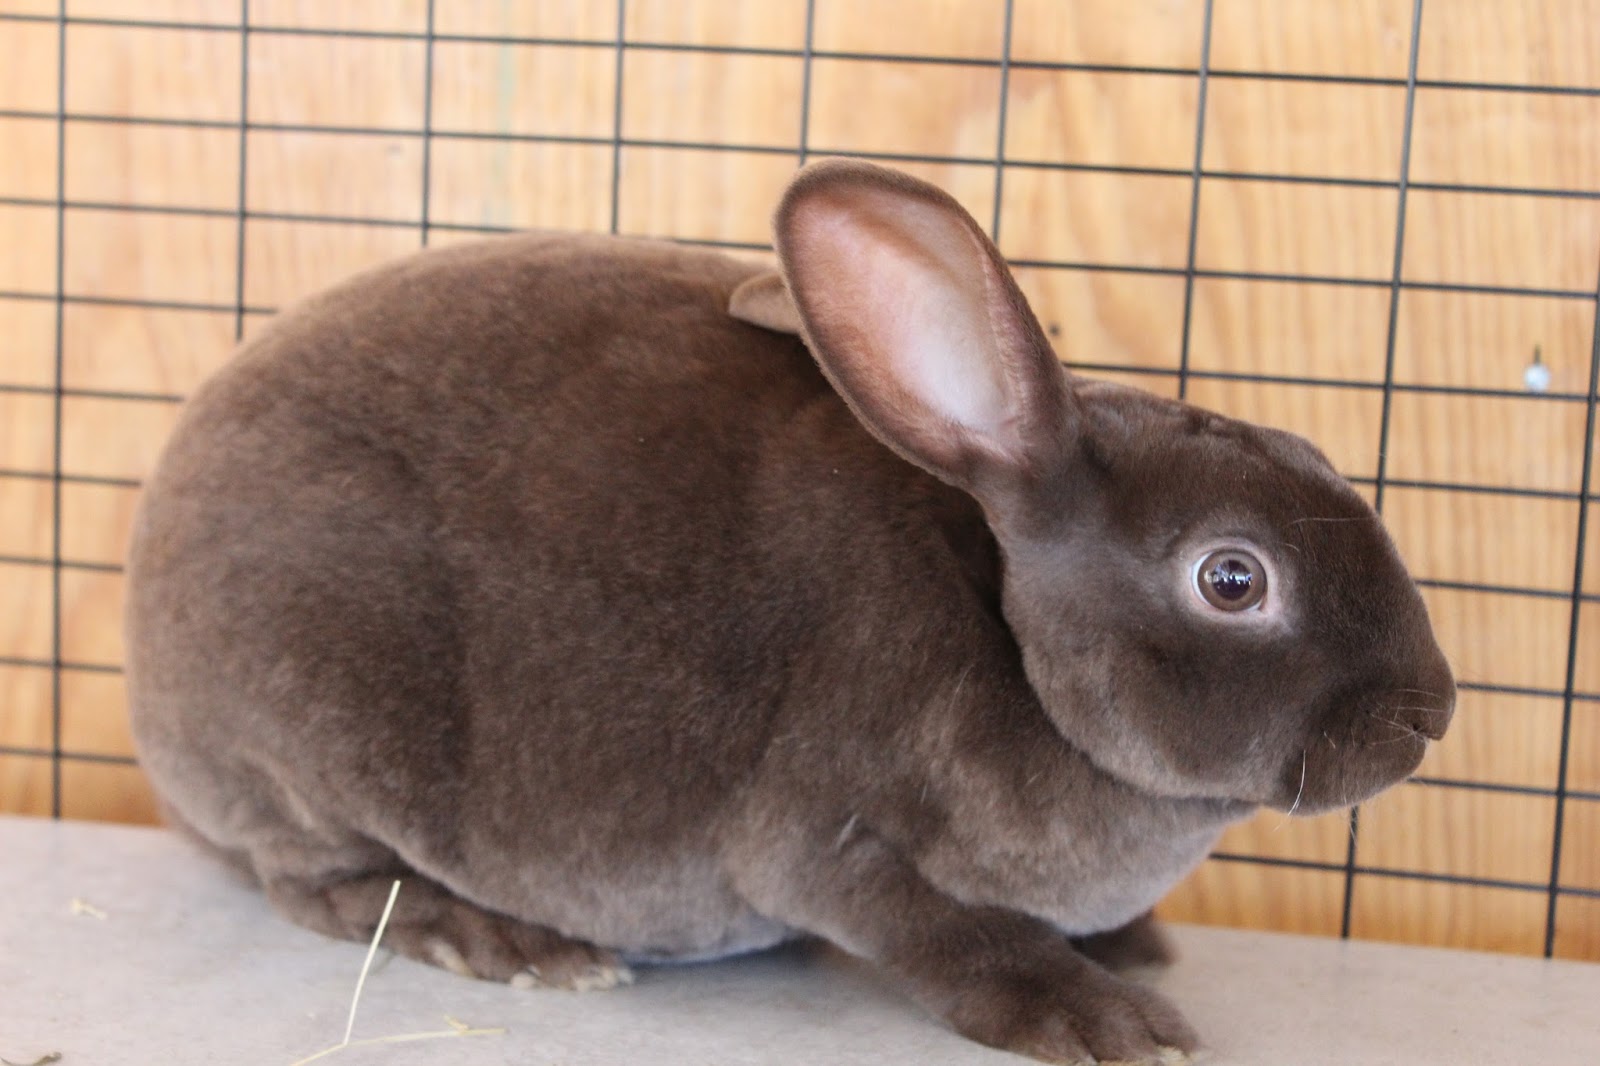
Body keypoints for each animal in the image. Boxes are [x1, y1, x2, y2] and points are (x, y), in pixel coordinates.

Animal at [125, 159, 1455, 1065]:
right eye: (1232, 579)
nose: (1431, 713)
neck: (1016, 645)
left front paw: (1126, 945)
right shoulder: (825, 835)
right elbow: (954, 937)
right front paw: (1107, 1015)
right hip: (301, 735)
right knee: (321, 884)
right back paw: (507, 944)